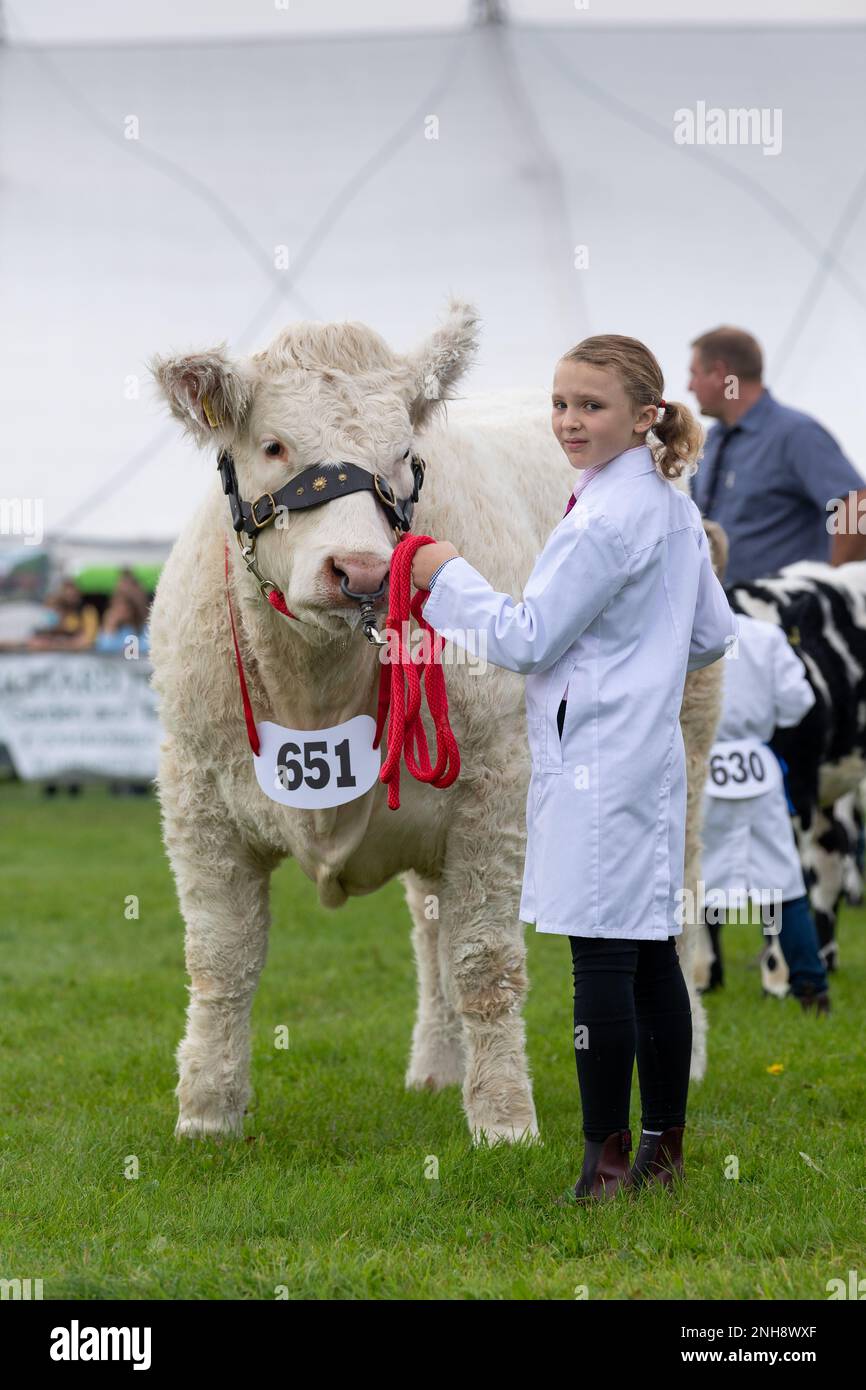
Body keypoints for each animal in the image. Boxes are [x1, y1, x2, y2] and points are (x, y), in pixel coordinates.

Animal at [147, 298, 724, 1146]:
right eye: (273, 445)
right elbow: (221, 959)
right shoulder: (197, 801)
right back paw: (437, 1065)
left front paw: (504, 1119)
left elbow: (484, 960)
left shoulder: (496, 793)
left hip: (687, 751)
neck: (316, 683)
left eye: (401, 454)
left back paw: (686, 1062)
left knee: (674, 904)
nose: (358, 570)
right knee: (429, 933)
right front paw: (207, 1113)